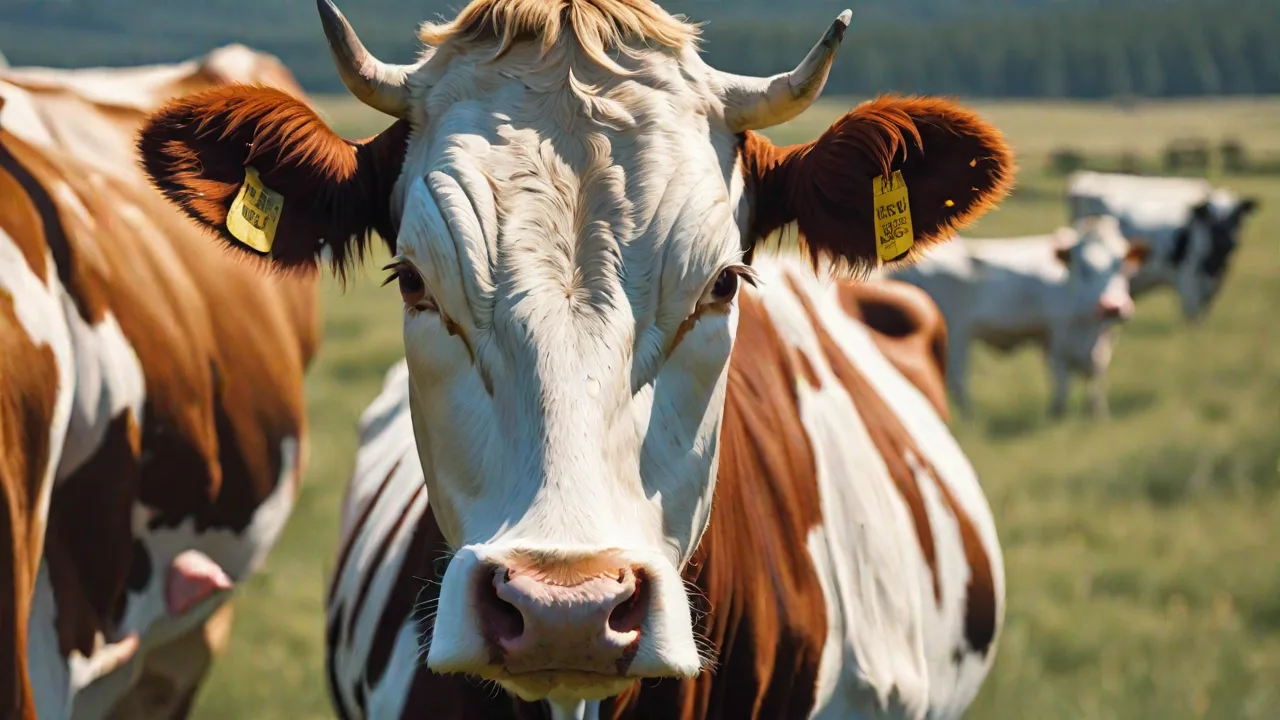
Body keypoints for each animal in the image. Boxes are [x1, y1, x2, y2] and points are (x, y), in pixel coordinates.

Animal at [887, 214, 1148, 419]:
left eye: (1122, 264)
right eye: (1082, 266)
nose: (1112, 307)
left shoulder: (1101, 339)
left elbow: (1094, 378)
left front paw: (1098, 414)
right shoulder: (1057, 337)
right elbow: (1062, 381)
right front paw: (1057, 415)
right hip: (954, 334)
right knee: (955, 380)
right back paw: (970, 419)